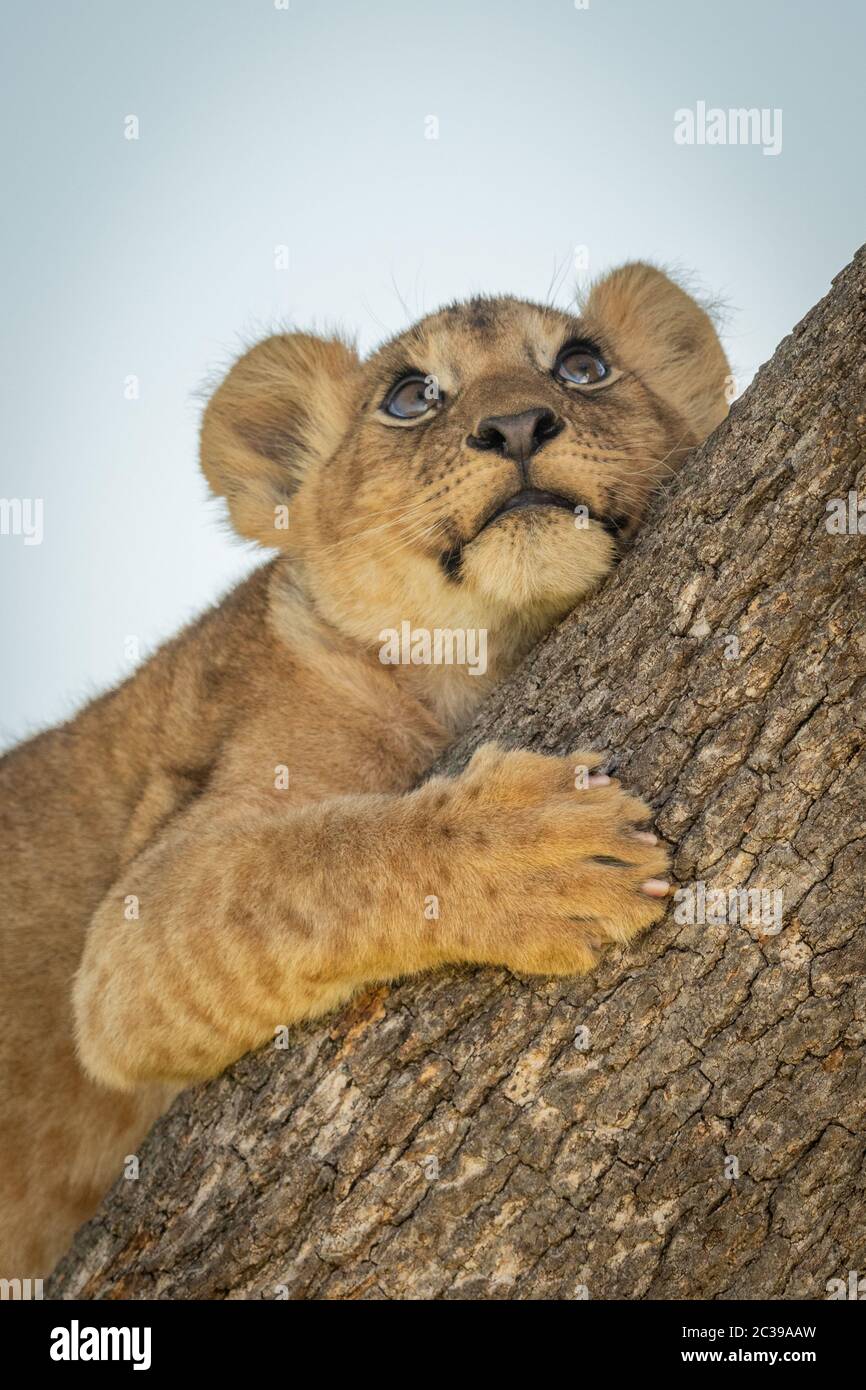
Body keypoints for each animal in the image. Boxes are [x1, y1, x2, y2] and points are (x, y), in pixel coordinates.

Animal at [0, 263, 729, 1277]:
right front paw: (548, 857)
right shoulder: (127, 942)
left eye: (583, 366)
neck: (473, 663)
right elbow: (322, 862)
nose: (517, 426)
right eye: (412, 397)